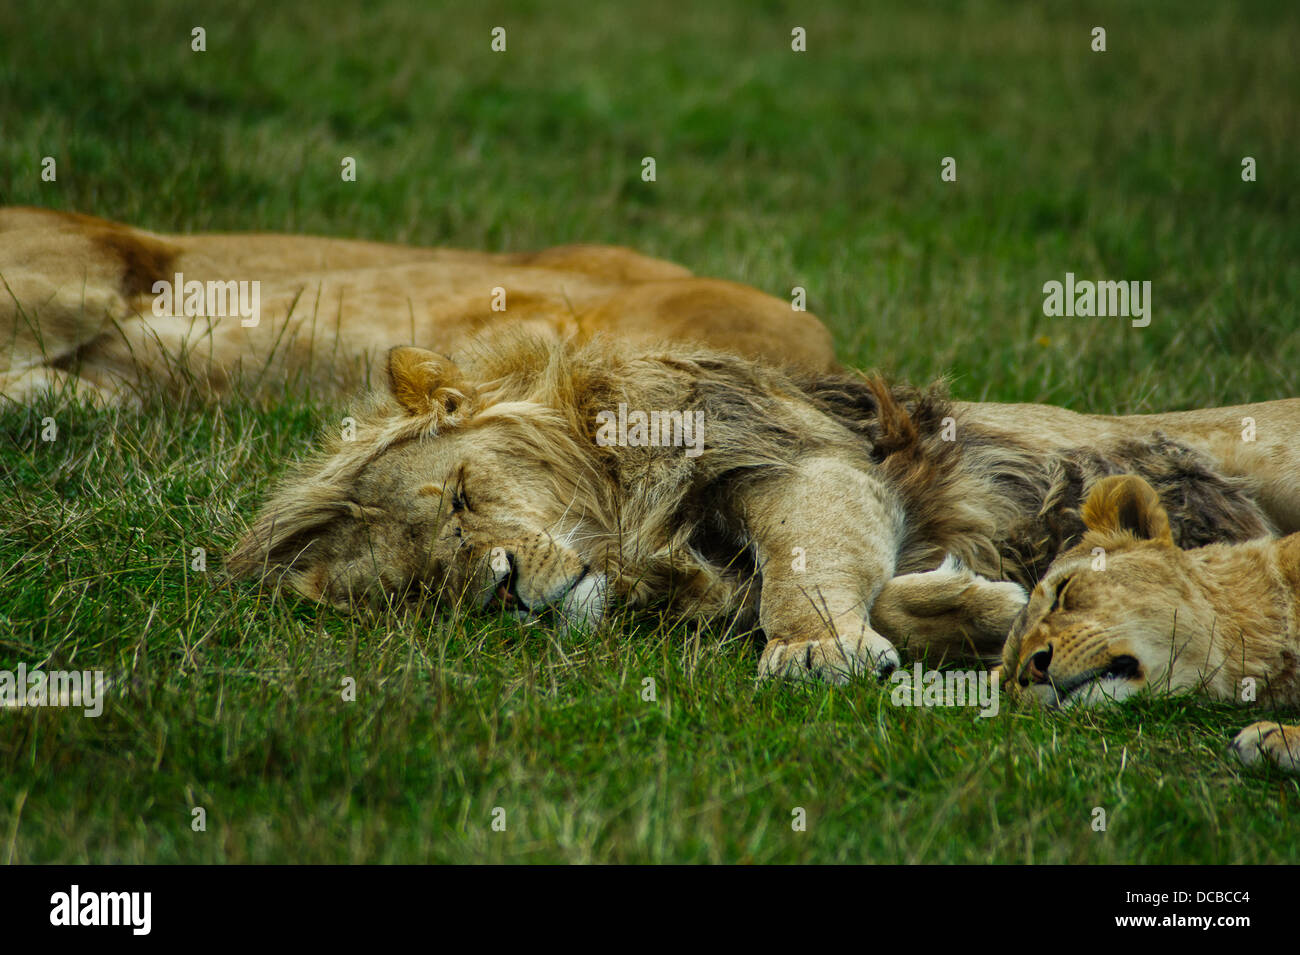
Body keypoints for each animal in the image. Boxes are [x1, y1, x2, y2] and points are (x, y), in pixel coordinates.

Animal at [228, 332, 1300, 684]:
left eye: (463, 493)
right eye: (431, 585)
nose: (506, 587)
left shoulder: (796, 453)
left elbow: (802, 560)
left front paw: (817, 647)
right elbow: (880, 585)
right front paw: (983, 608)